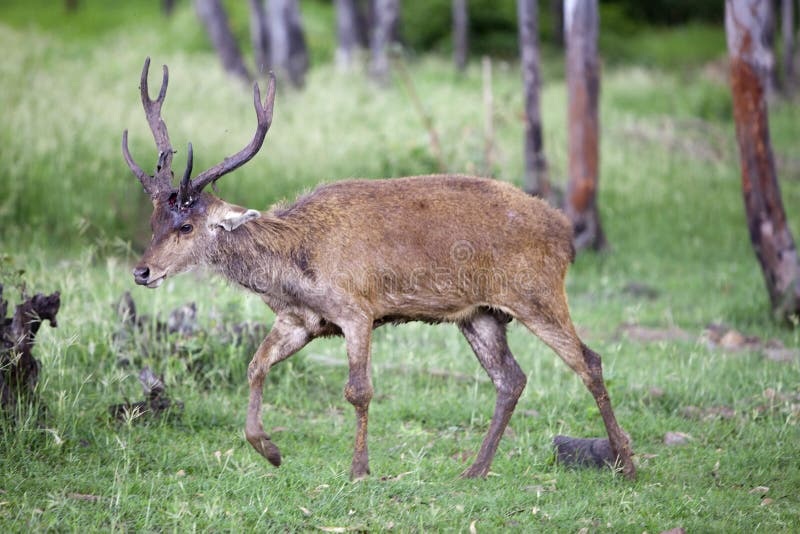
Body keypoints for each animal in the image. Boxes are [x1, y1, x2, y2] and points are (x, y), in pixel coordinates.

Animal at [122, 58, 636, 481]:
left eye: (186, 225)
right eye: (153, 221)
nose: (141, 272)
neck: (296, 266)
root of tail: (566, 234)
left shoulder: (358, 308)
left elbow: (358, 390)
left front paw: (359, 469)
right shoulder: (300, 320)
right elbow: (255, 365)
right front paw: (269, 450)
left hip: (536, 292)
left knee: (588, 360)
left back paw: (626, 464)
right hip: (481, 314)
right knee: (511, 378)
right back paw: (475, 470)